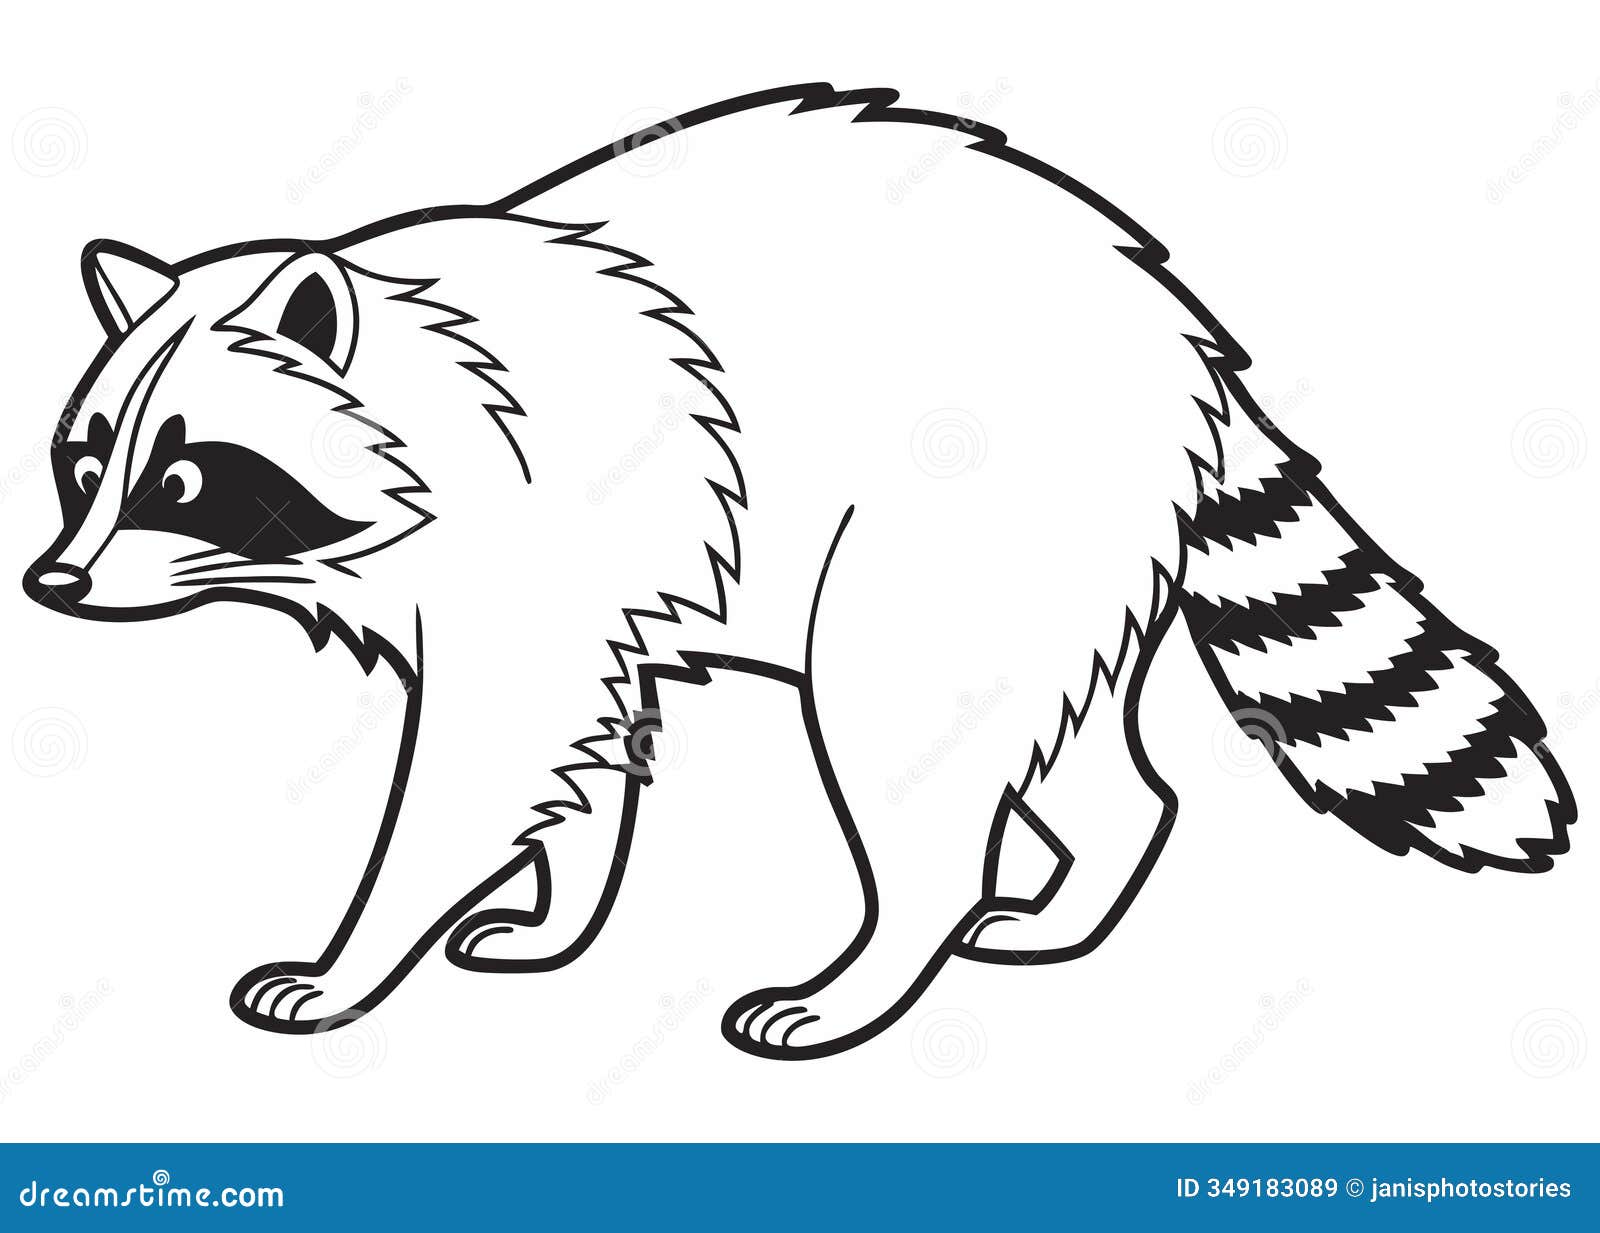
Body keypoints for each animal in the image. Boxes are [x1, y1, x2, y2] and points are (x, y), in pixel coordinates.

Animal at [24, 85, 1573, 1057]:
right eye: (82, 465)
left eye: (185, 480)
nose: (52, 587)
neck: (429, 381)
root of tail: (1170, 325)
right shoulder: (599, 578)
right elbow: (593, 741)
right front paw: (559, 910)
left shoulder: (551, 536)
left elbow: (487, 754)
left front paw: (356, 956)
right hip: (1070, 557)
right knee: (1092, 756)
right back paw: (1079, 891)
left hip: (963, 521)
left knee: (912, 742)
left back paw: (874, 969)